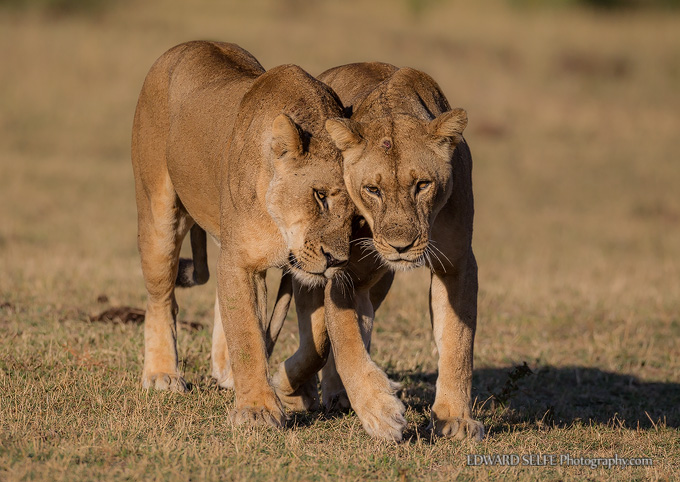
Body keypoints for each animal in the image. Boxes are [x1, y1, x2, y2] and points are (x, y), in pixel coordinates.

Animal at [131, 41, 354, 427]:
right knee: (162, 297)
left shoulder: (304, 271)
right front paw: (257, 410)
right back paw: (162, 374)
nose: (337, 260)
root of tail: (185, 44)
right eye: (320, 195)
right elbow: (248, 335)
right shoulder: (243, 262)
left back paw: (225, 373)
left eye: (362, 208)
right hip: (158, 213)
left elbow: (319, 339)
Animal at [270, 62, 484, 441]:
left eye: (422, 185)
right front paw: (380, 411)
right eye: (373, 189)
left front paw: (454, 418)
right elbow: (341, 341)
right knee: (318, 335)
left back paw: (336, 394)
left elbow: (458, 343)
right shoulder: (341, 272)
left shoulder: (457, 264)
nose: (401, 246)